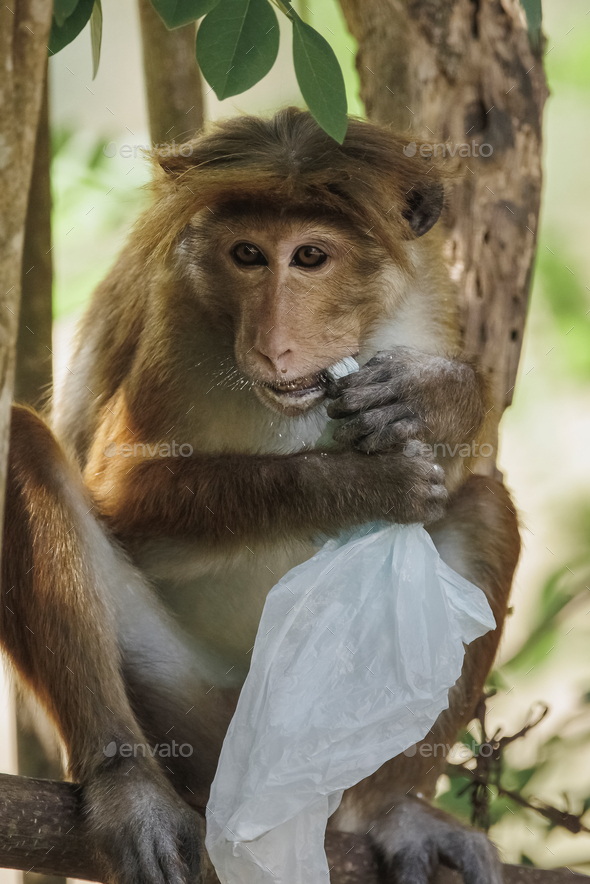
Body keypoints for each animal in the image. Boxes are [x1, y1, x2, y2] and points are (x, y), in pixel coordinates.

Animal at [1, 108, 521, 884]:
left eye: (309, 257)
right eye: (247, 254)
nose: (275, 345)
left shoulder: (430, 292)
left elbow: (471, 461)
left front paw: (436, 397)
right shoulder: (172, 317)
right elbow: (121, 492)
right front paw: (357, 484)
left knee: (488, 507)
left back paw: (387, 808)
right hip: (187, 708)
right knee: (23, 446)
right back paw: (126, 783)